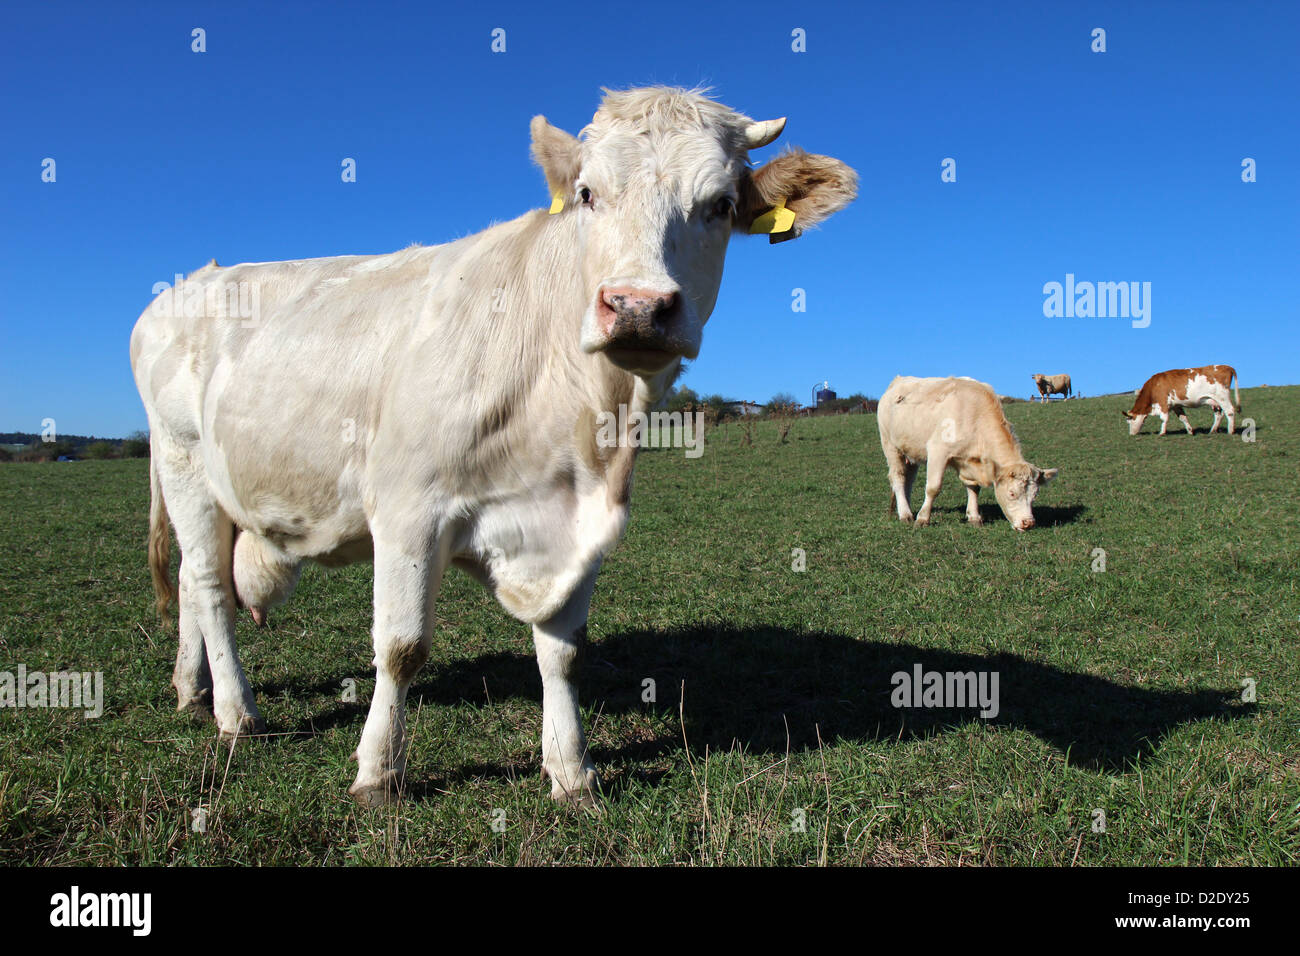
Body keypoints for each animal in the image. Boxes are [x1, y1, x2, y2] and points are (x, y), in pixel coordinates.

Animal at [130, 87, 857, 808]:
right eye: (587, 193)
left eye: (722, 205)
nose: (638, 307)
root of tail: (191, 281)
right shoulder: (408, 509)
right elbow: (401, 647)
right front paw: (379, 771)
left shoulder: (578, 521)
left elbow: (563, 651)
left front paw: (572, 770)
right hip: (182, 459)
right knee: (207, 585)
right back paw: (235, 711)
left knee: (196, 584)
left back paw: (192, 690)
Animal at [878, 376, 1058, 531]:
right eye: (1012, 493)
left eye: (1034, 495)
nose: (1028, 523)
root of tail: (898, 381)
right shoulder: (938, 451)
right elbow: (933, 488)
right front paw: (922, 519)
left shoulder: (968, 460)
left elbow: (973, 487)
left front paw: (974, 517)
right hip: (890, 446)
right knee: (898, 477)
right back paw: (905, 514)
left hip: (911, 452)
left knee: (908, 479)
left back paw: (906, 508)